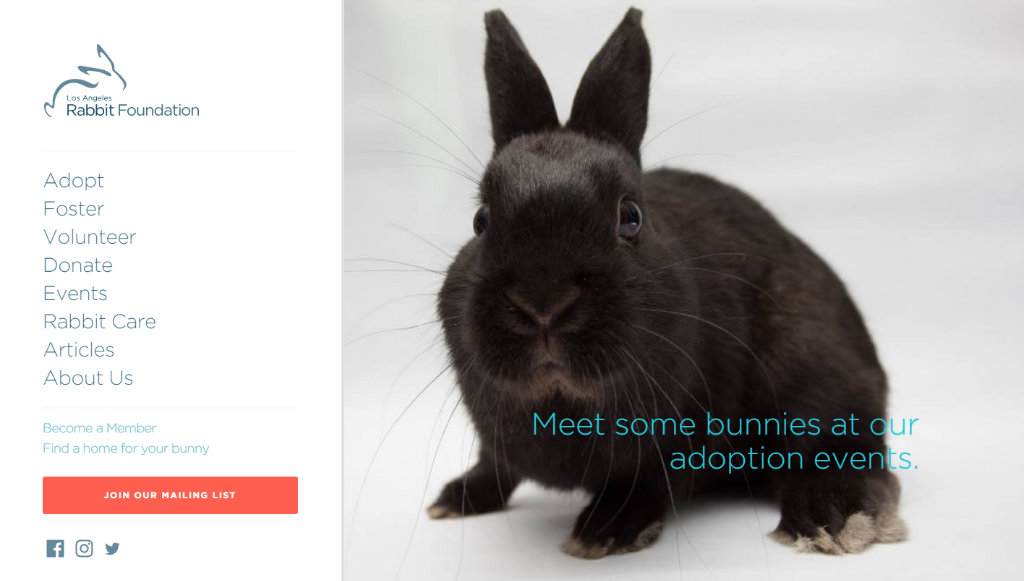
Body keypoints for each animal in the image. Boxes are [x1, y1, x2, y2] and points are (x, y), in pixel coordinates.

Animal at [429, 7, 907, 559]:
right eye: (481, 220)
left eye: (630, 217)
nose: (543, 304)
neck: (560, 401)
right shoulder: (495, 439)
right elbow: (495, 465)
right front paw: (457, 497)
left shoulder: (686, 429)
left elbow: (651, 481)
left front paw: (606, 529)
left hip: (821, 376)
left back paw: (832, 517)